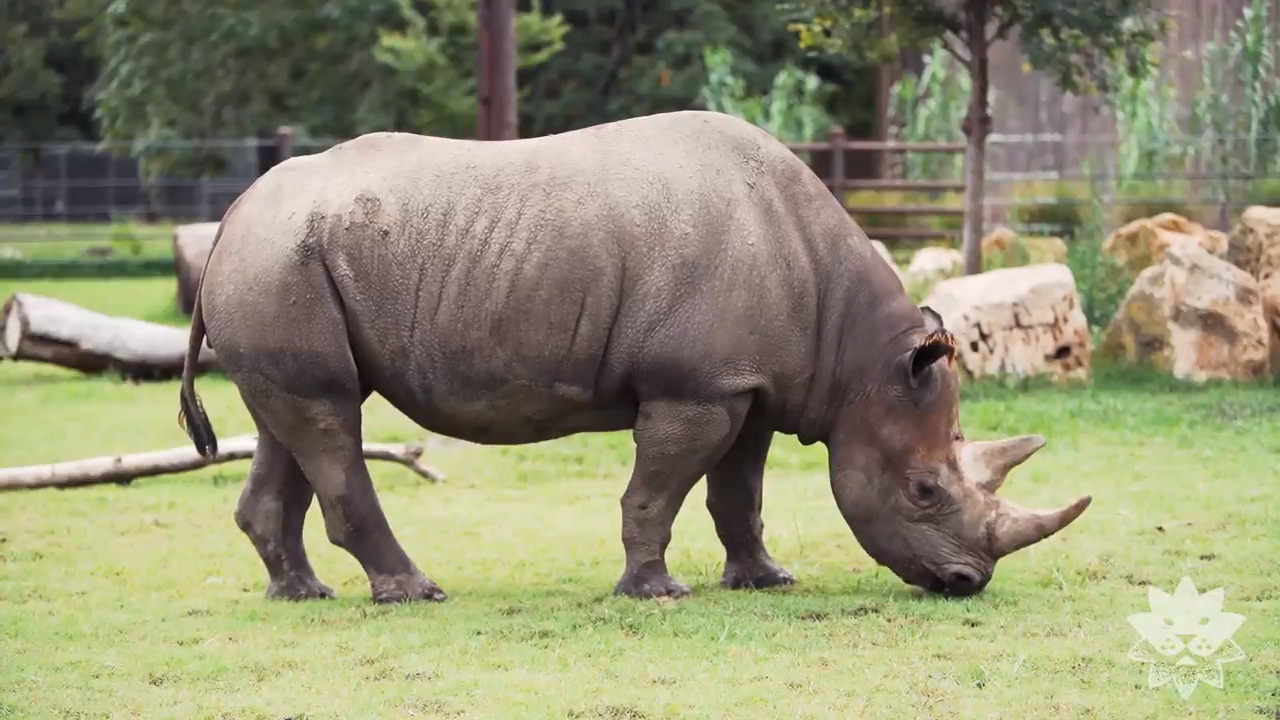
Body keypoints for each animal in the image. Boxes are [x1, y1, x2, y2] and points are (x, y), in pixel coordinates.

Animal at [177, 110, 1091, 604]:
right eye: (926, 490)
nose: (968, 583)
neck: (858, 357)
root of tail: (231, 216)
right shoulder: (696, 388)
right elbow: (661, 487)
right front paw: (658, 593)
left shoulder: (752, 386)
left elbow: (739, 493)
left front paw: (767, 580)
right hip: (279, 261)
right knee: (329, 419)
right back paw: (415, 592)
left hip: (282, 263)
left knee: (295, 420)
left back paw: (304, 592)